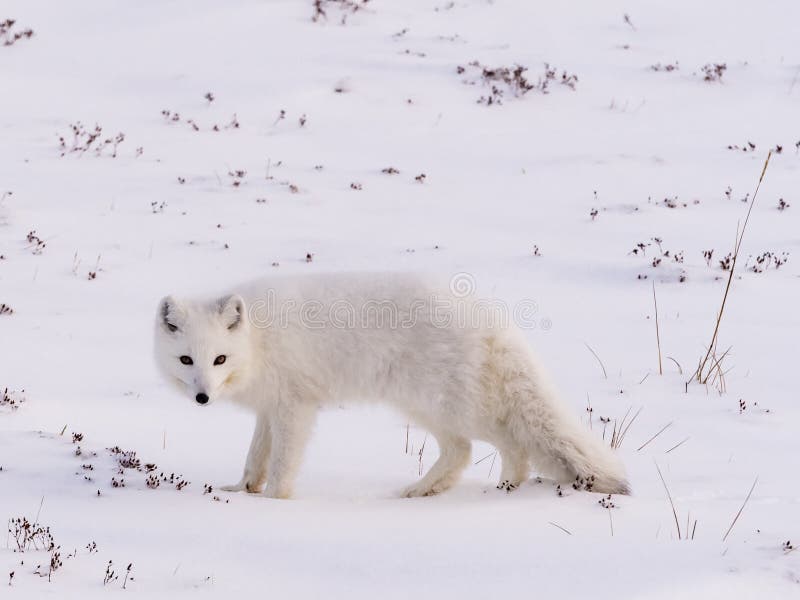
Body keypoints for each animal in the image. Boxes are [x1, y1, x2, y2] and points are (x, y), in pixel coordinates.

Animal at [154, 273, 629, 499]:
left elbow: (283, 464)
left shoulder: (295, 407)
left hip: (432, 403)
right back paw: (487, 490)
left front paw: (273, 503)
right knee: (493, 448)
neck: (259, 340)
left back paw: (445, 491)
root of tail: (488, 316)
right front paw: (241, 492)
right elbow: (255, 458)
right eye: (187, 360)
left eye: (219, 359)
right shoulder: (270, 409)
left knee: (483, 446)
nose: (202, 397)